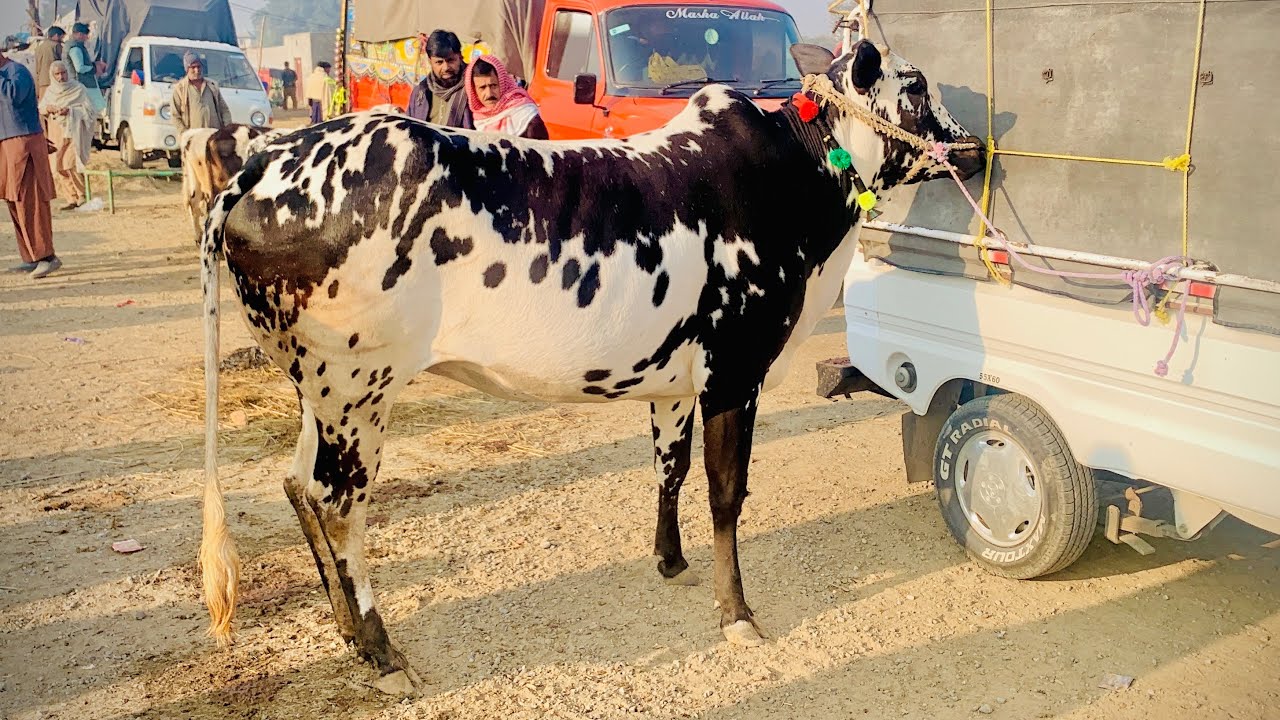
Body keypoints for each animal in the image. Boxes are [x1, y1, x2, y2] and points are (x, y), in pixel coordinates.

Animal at [196, 40, 983, 694]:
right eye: (915, 86)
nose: (973, 144)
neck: (801, 182)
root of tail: (270, 159)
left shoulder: (674, 379)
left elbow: (671, 466)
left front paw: (670, 561)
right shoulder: (735, 370)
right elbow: (726, 493)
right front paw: (738, 614)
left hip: (321, 392)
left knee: (298, 485)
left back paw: (349, 635)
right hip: (359, 391)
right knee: (339, 506)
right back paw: (383, 651)